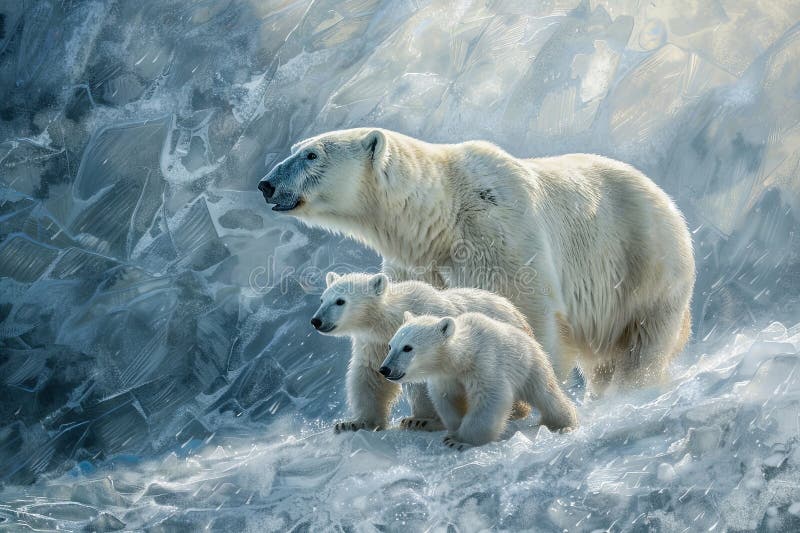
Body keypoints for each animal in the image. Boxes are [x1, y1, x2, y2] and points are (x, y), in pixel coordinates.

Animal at [311, 271, 535, 432]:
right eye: (322, 299)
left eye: (340, 301)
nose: (316, 321)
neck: (390, 320)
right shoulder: (375, 343)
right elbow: (369, 376)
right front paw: (354, 423)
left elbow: (425, 383)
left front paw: (421, 420)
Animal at [381, 311, 578, 449]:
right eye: (390, 346)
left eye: (408, 348)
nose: (385, 369)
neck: (463, 357)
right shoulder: (446, 378)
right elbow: (448, 401)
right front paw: (454, 431)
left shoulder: (485, 364)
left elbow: (490, 400)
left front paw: (459, 441)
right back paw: (418, 422)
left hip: (529, 364)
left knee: (546, 394)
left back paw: (563, 425)